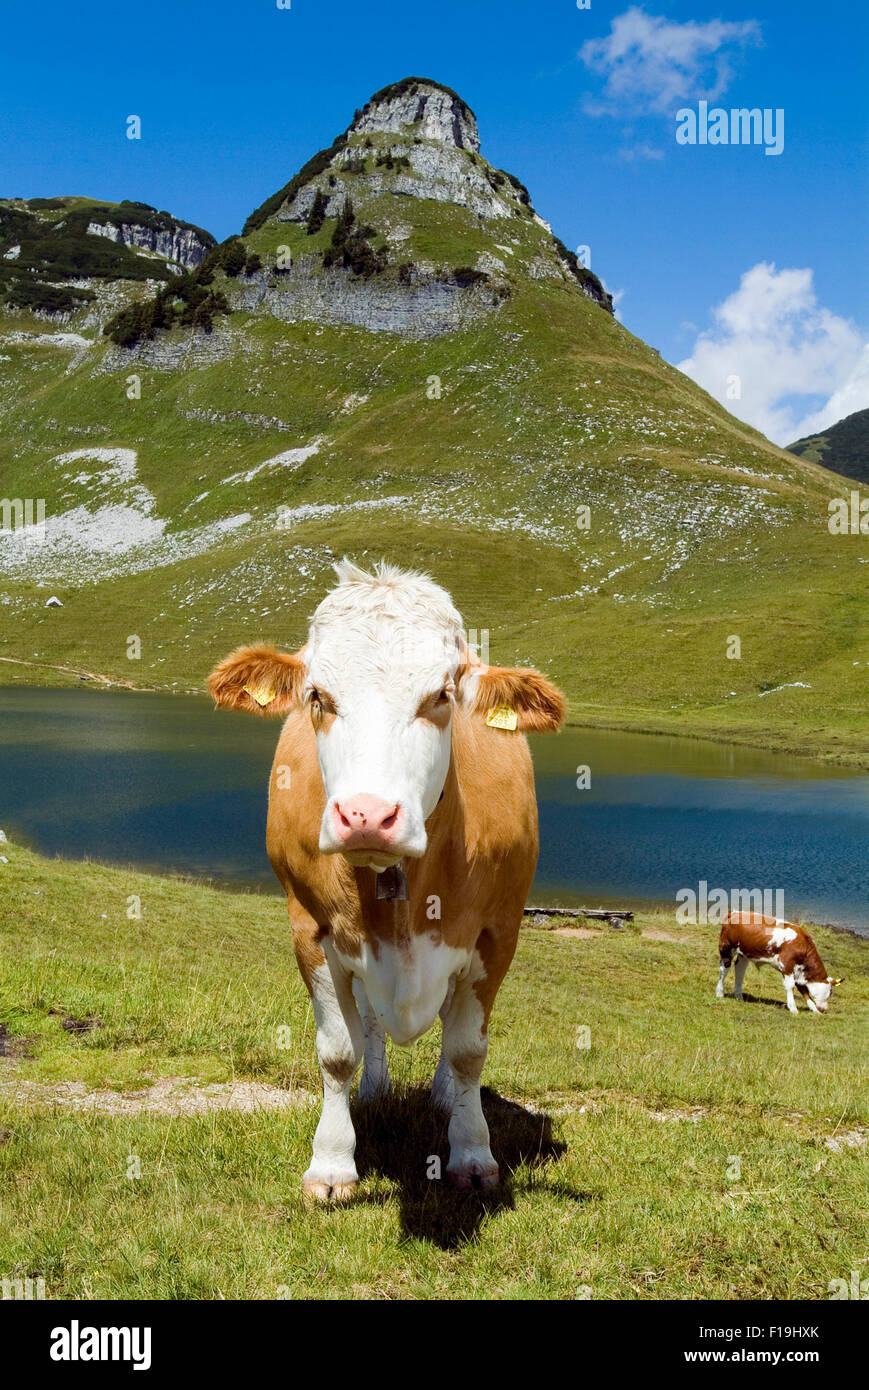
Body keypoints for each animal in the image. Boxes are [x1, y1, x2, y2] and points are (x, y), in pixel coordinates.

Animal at [208, 560, 565, 1201]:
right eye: (318, 696)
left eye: (441, 695)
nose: (366, 816)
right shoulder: (310, 927)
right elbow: (337, 1050)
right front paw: (331, 1163)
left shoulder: (497, 931)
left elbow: (468, 1049)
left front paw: (472, 1152)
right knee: (369, 1022)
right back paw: (373, 1089)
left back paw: (445, 1095)